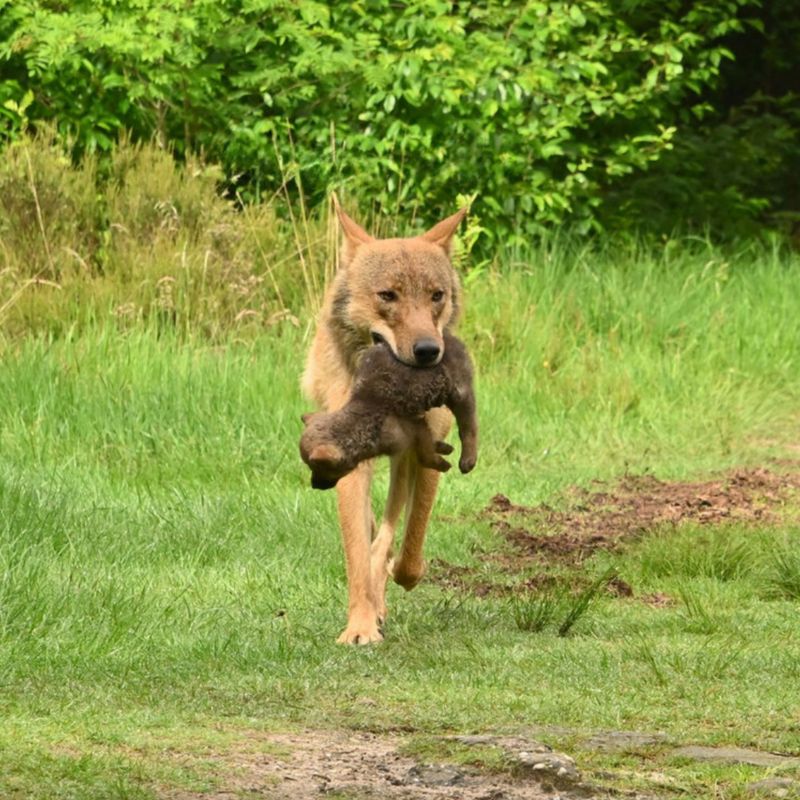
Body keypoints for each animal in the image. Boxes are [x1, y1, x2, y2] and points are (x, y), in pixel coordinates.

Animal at [302, 198, 468, 644]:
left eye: (436, 296)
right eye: (387, 295)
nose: (428, 351)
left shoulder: (429, 456)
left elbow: (409, 547)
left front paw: (393, 582)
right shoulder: (350, 461)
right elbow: (358, 554)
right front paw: (360, 626)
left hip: (404, 463)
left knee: (392, 530)